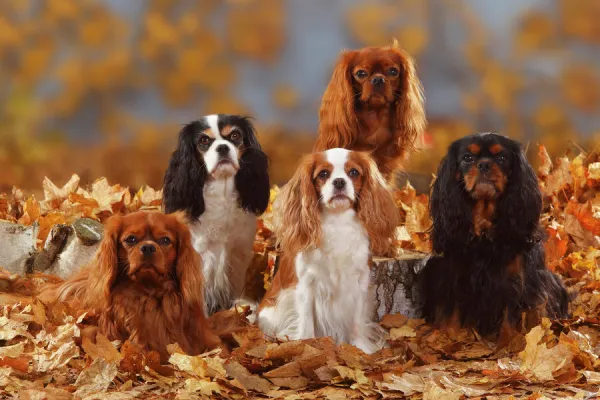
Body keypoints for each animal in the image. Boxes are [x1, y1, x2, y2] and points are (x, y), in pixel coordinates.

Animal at [162, 115, 270, 316]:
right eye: (204, 140)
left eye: (235, 135)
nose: (222, 147)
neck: (222, 191)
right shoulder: (200, 255)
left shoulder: (237, 253)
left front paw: (240, 309)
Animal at [256, 148, 398, 354]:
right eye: (323, 174)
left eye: (353, 172)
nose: (339, 181)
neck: (337, 220)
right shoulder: (306, 285)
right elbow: (306, 321)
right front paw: (305, 345)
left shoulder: (359, 282)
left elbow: (356, 321)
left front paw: (361, 349)